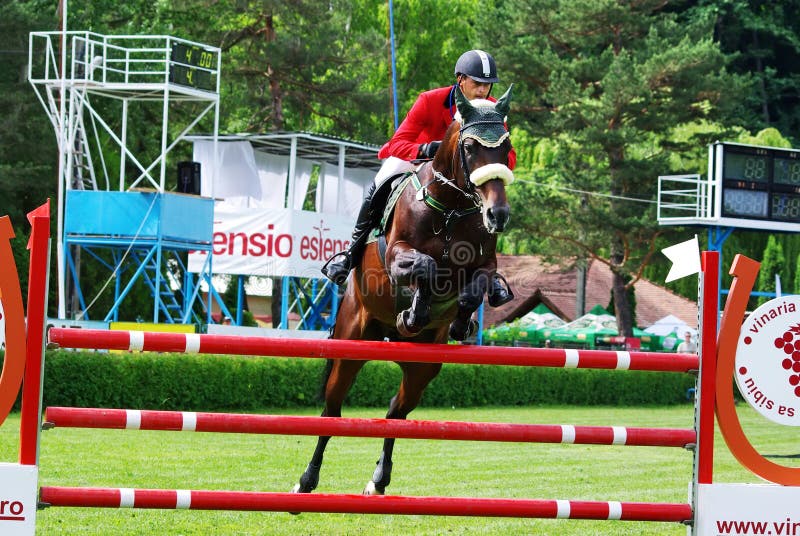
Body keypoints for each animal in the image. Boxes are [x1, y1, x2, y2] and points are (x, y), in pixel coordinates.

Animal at [293, 85, 514, 497]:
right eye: (471, 146)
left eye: (505, 146)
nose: (498, 215)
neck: (452, 208)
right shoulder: (398, 255)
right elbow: (424, 267)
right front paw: (413, 312)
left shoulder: (485, 266)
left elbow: (474, 289)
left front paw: (459, 323)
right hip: (352, 343)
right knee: (332, 412)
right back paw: (306, 481)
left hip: (422, 367)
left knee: (396, 412)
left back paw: (379, 480)